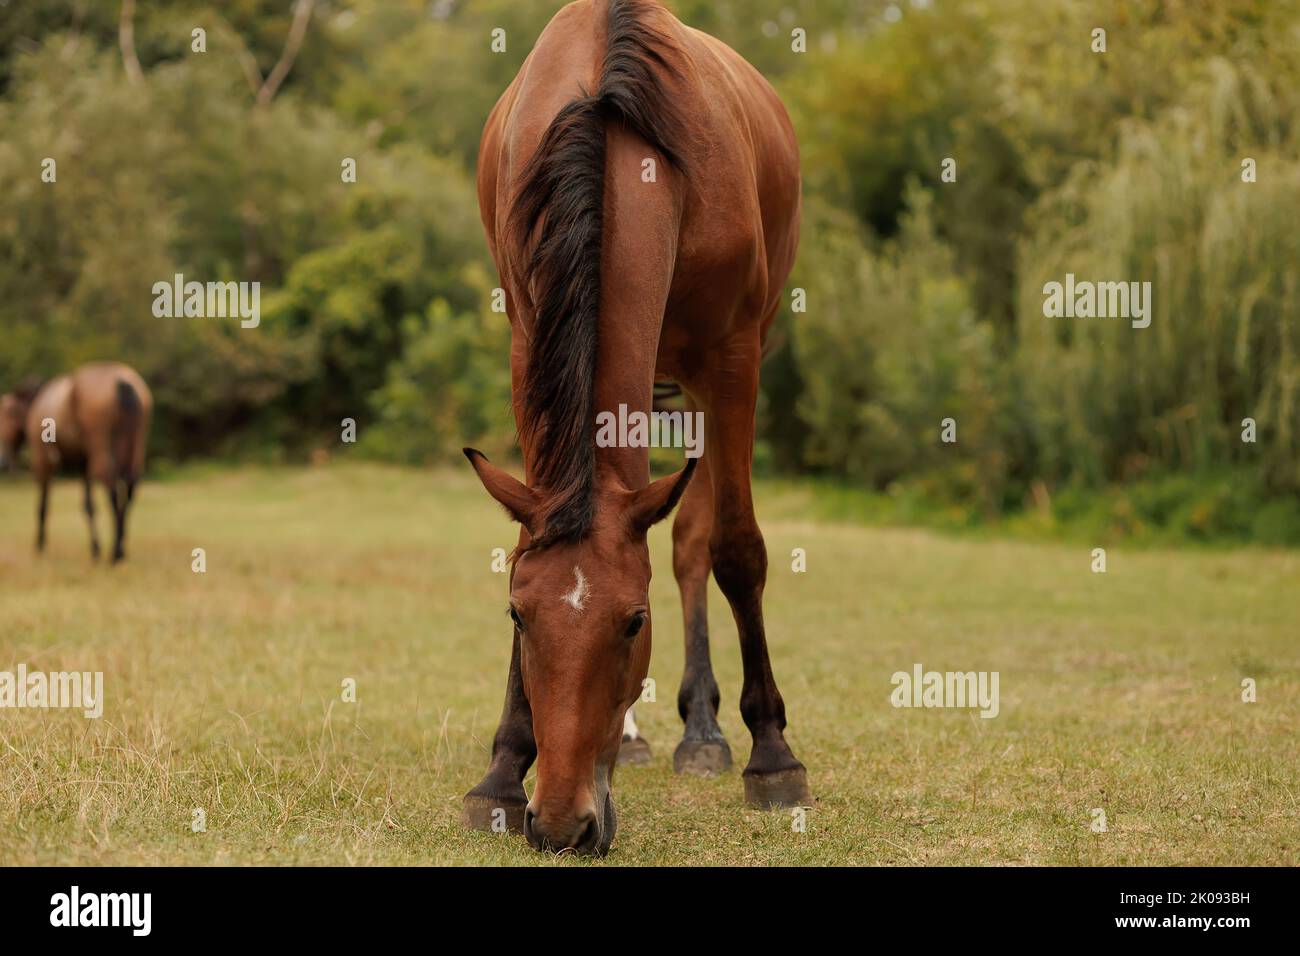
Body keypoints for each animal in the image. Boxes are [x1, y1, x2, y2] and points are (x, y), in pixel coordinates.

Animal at [0, 361, 152, 564]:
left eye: (4, 415)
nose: (3, 459)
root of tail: (123, 383)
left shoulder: (42, 461)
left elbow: (43, 505)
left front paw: (40, 546)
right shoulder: (83, 463)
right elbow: (88, 505)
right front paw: (95, 549)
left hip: (102, 449)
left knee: (112, 487)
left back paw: (115, 553)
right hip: (136, 445)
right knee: (129, 489)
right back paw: (120, 548)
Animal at [461, 0, 809, 855]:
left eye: (633, 623)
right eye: (518, 616)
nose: (562, 824)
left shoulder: (732, 354)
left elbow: (734, 550)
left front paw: (773, 755)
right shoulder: (529, 337)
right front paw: (503, 769)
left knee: (691, 545)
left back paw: (705, 733)